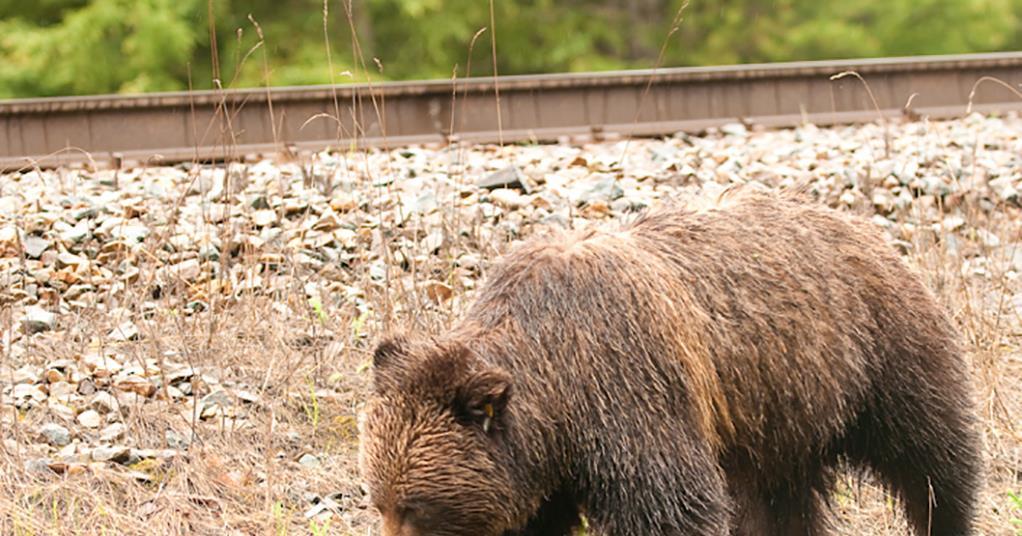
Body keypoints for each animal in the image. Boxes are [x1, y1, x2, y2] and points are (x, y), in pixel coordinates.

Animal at [358, 187, 981, 536]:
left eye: (417, 507)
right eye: (378, 499)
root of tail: (858, 224)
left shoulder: (628, 387)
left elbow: (670, 508)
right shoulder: (540, 466)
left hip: (875, 353)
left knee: (932, 458)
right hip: (777, 418)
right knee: (779, 501)